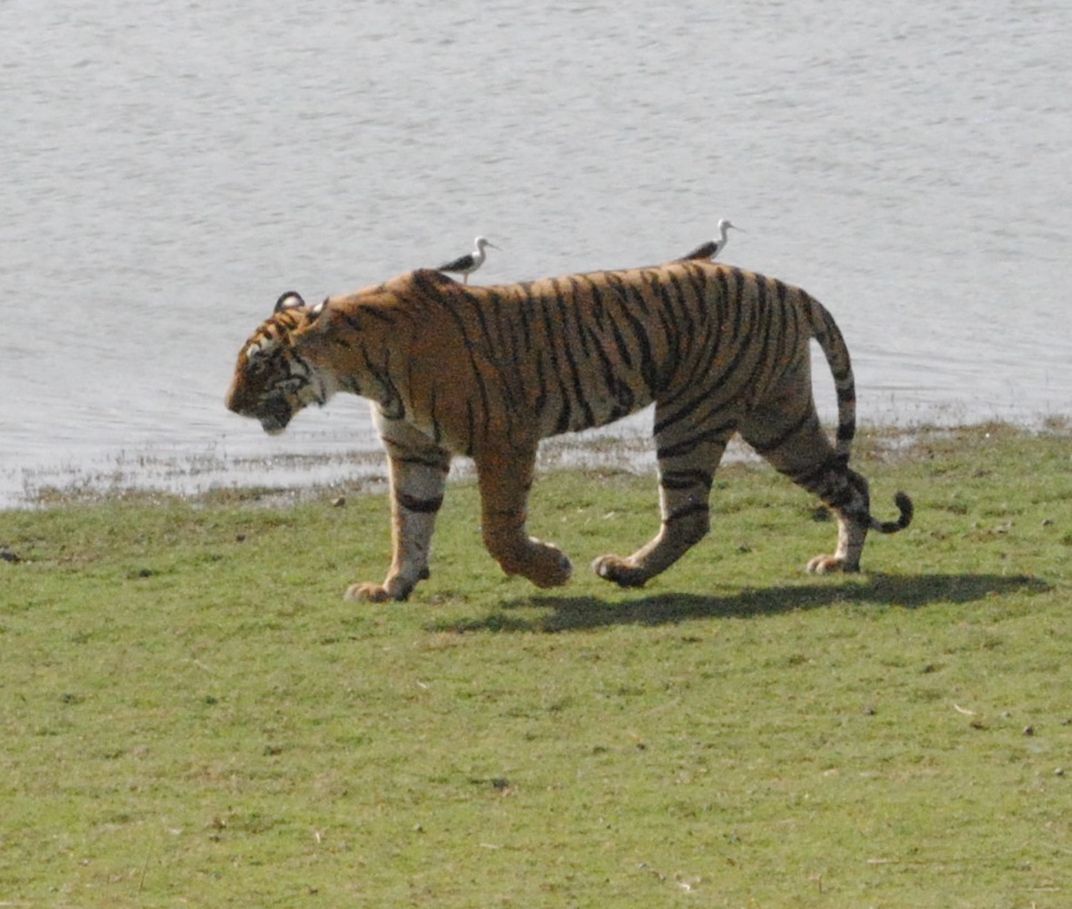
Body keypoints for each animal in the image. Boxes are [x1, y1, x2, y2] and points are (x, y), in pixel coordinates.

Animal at [226, 263, 912, 602]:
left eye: (259, 364)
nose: (230, 405)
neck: (358, 367)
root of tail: (788, 288)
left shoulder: (504, 437)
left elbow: (498, 530)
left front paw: (552, 570)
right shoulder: (412, 449)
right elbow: (409, 523)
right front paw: (391, 587)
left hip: (694, 415)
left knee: (693, 514)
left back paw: (627, 571)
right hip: (775, 412)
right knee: (848, 481)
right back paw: (841, 561)